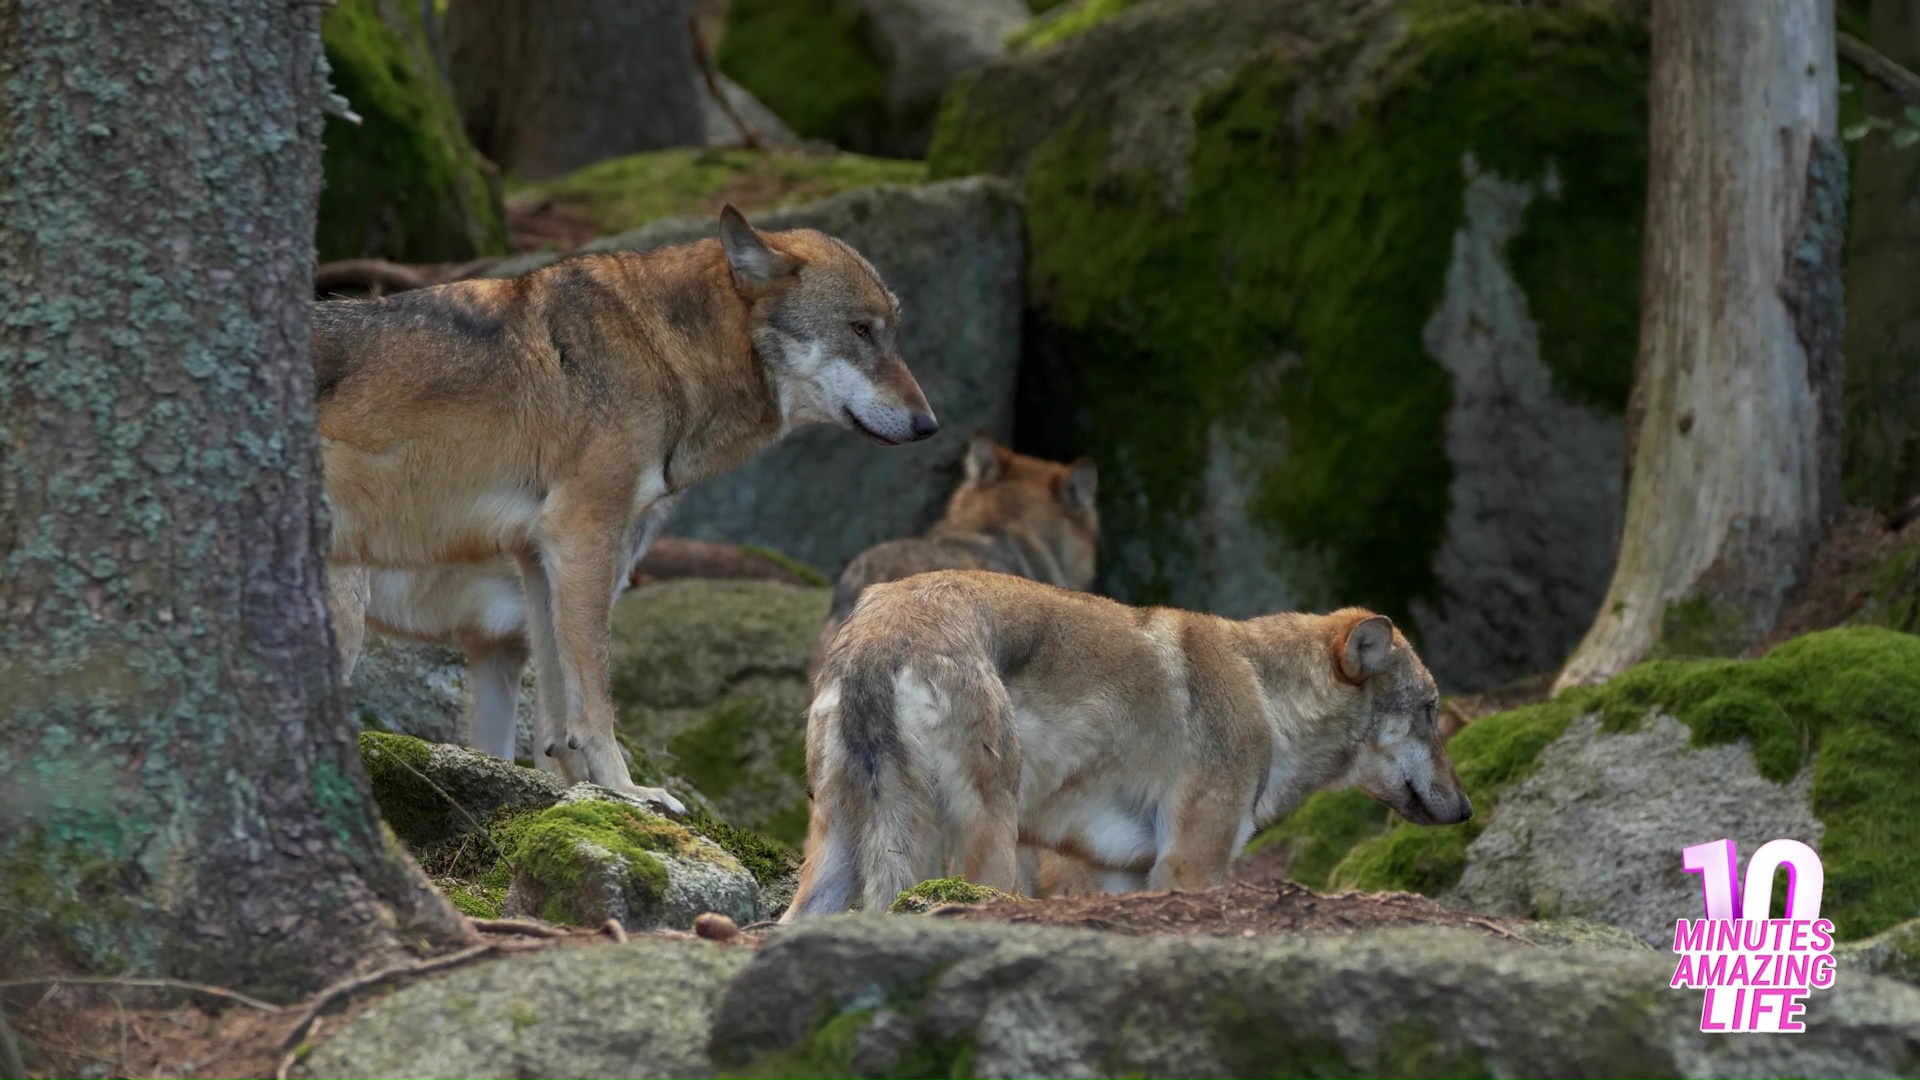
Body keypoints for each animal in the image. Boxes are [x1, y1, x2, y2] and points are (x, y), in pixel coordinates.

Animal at [315, 205, 935, 801]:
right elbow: (596, 702)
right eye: (860, 330)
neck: (657, 349)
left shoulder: (532, 576)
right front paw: (628, 790)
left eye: (893, 334)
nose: (930, 425)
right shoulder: (579, 537)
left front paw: (580, 794)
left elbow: (555, 723)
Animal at [783, 571, 1471, 918]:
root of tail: (878, 634)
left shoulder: (1124, 874)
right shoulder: (1191, 866)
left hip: (838, 853)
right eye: (1430, 713)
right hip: (988, 845)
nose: (1466, 809)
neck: (1265, 697)